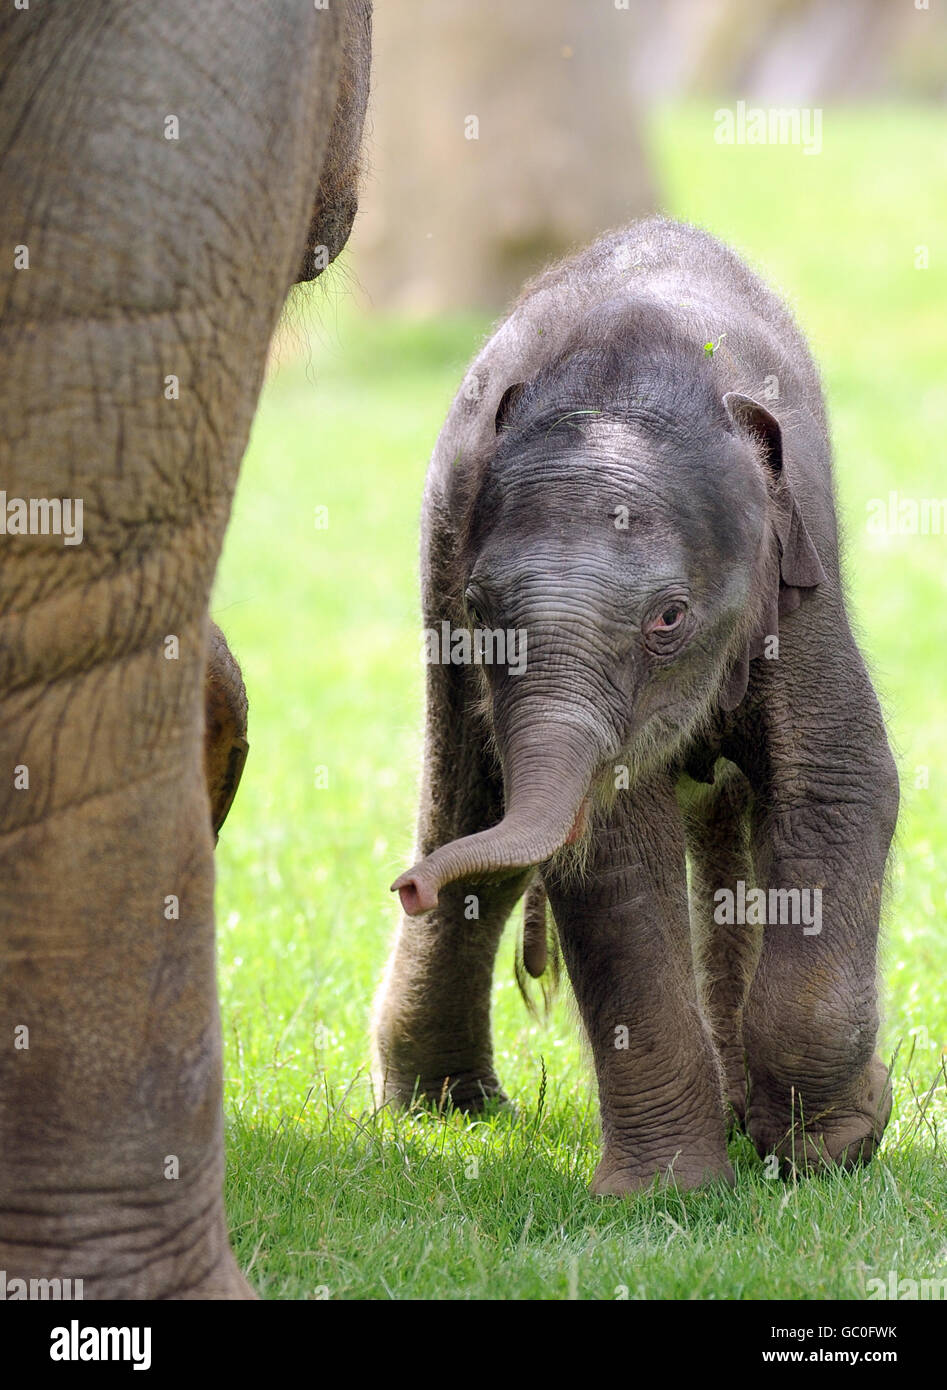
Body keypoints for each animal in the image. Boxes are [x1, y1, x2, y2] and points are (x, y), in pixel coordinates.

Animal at [373, 217, 899, 1195]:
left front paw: (836, 1146)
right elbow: (612, 854)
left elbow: (837, 791)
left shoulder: (798, 584)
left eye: (669, 617)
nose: (408, 888)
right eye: (481, 609)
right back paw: (447, 1108)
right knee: (467, 817)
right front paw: (671, 1194)